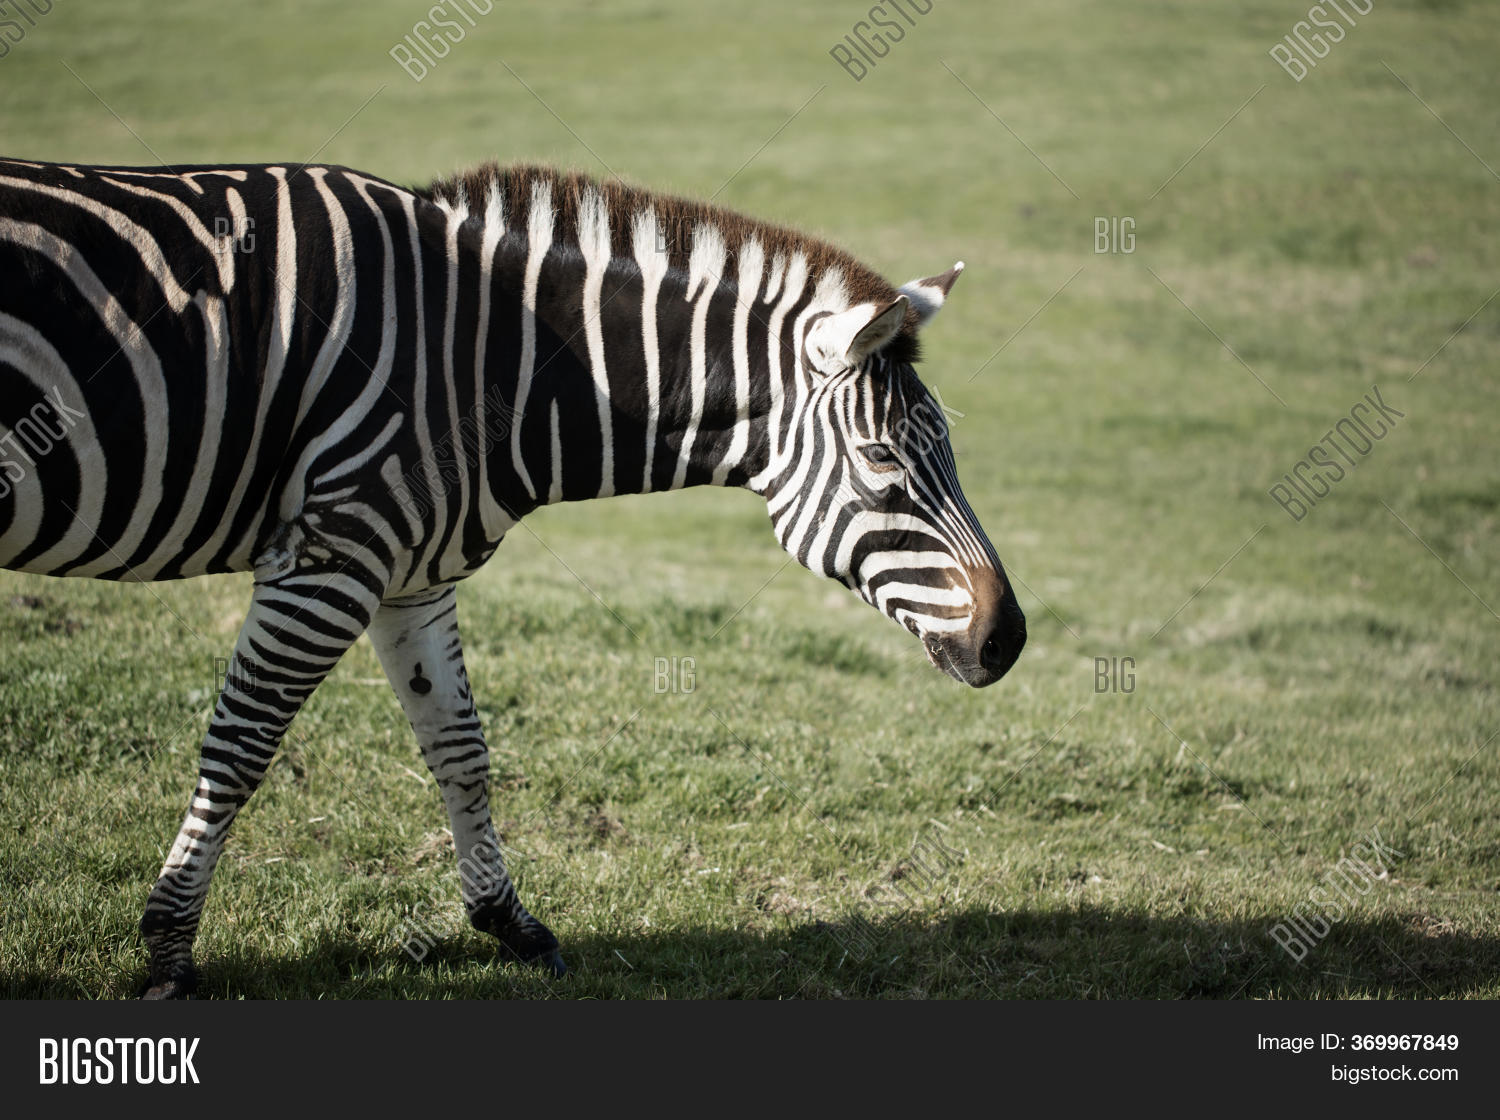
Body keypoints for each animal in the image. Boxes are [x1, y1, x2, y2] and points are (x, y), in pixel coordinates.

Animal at [0, 156, 1026, 997]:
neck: (495, 358)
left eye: (948, 449)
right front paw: (169, 949)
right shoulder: (333, 548)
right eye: (885, 461)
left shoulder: (408, 571)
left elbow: (460, 744)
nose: (1009, 640)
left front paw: (508, 922)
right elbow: (241, 746)